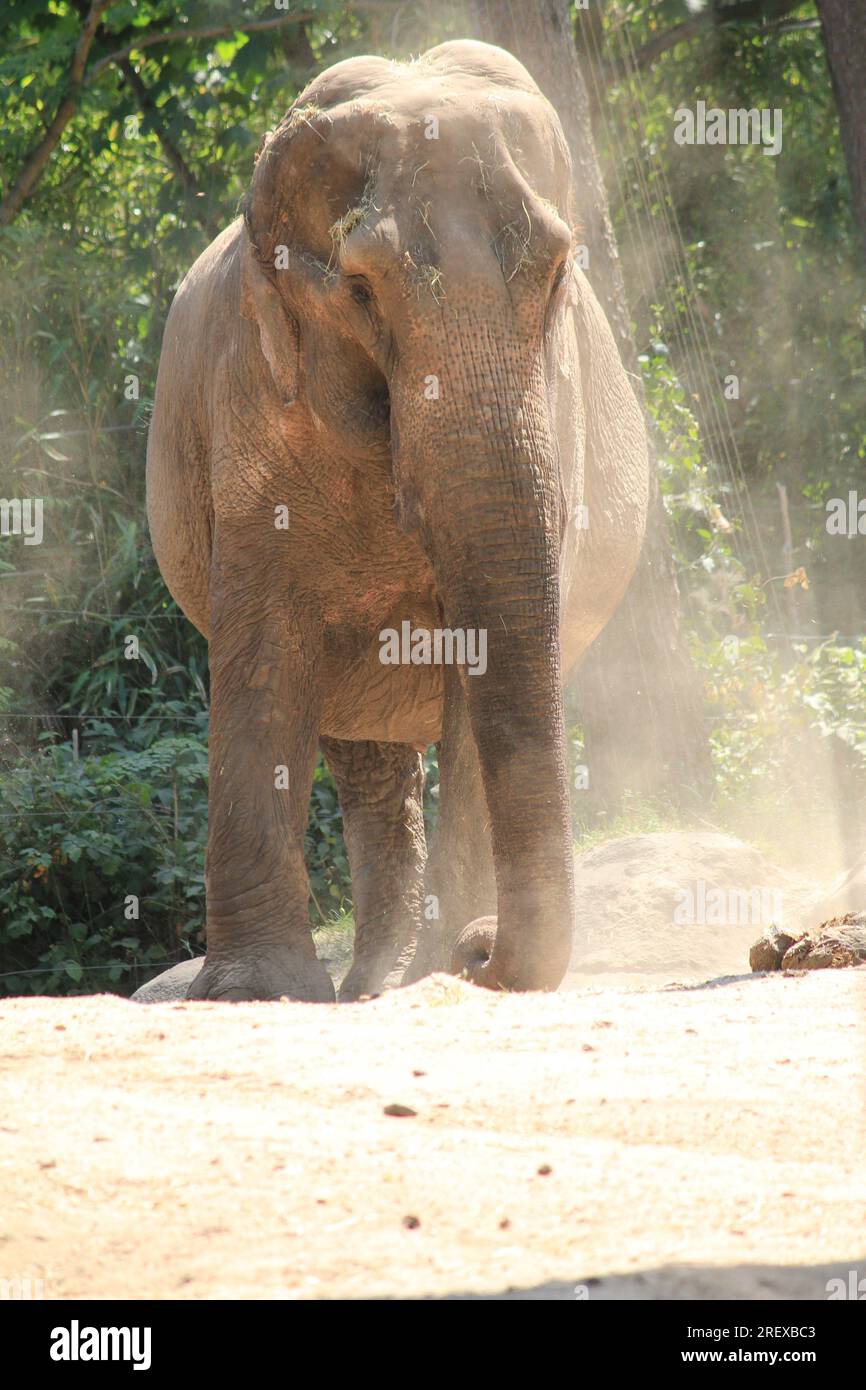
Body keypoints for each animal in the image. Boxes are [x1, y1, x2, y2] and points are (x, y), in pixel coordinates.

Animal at [143, 39, 648, 1004]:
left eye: (558, 275)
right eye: (360, 290)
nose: (484, 950)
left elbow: (479, 655)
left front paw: (442, 968)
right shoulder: (250, 394)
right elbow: (263, 649)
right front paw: (256, 992)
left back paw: (389, 979)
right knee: (361, 753)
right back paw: (368, 983)